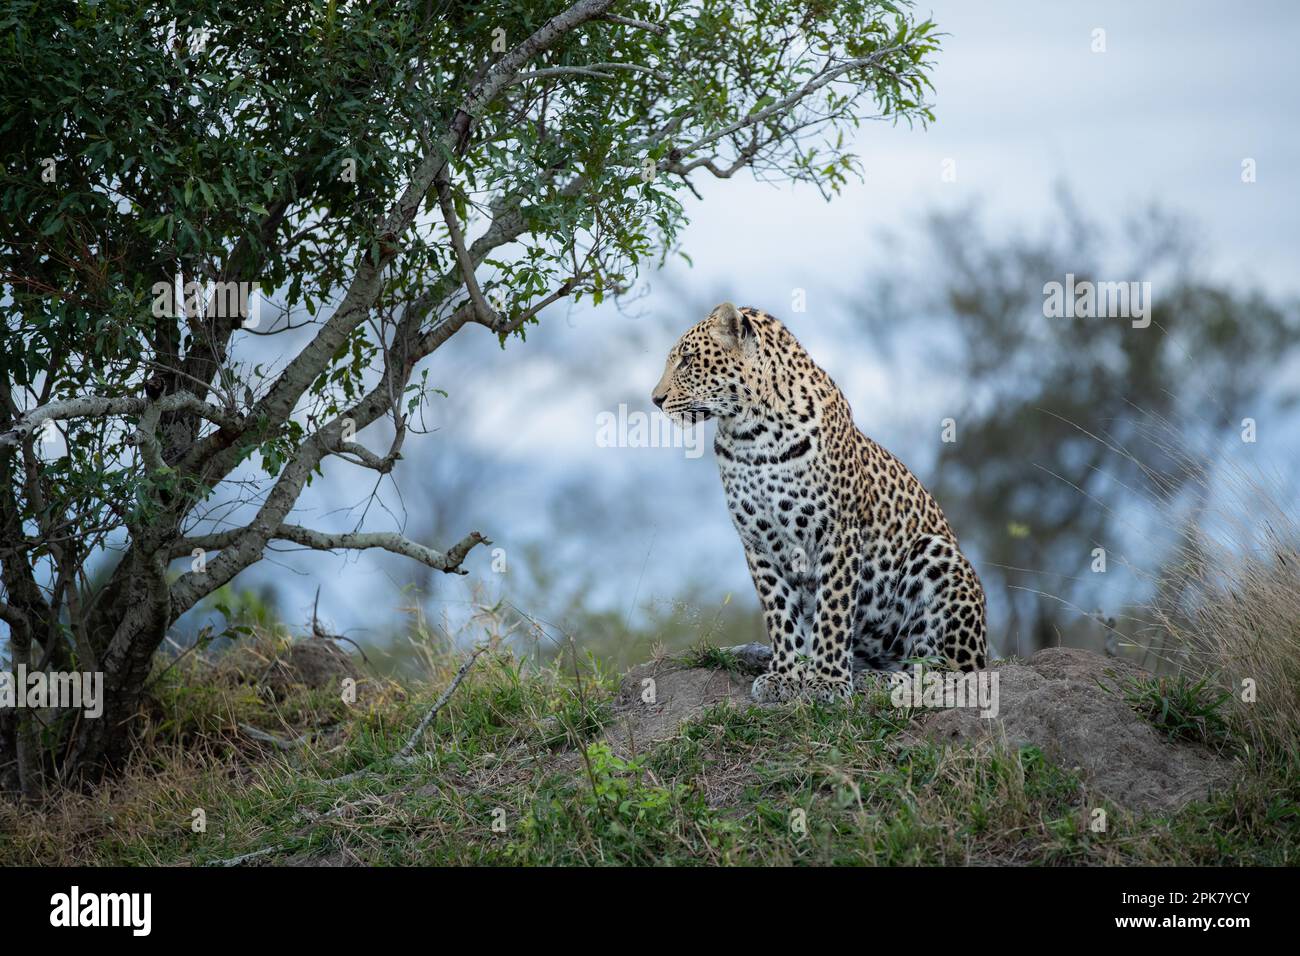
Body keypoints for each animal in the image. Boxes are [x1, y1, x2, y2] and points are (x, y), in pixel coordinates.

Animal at [651, 302, 988, 704]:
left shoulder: (837, 532)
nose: (655, 400)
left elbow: (833, 610)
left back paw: (879, 680)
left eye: (687, 360)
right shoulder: (757, 541)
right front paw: (786, 674)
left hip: (937, 557)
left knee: (942, 671)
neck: (751, 434)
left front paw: (826, 681)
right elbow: (779, 611)